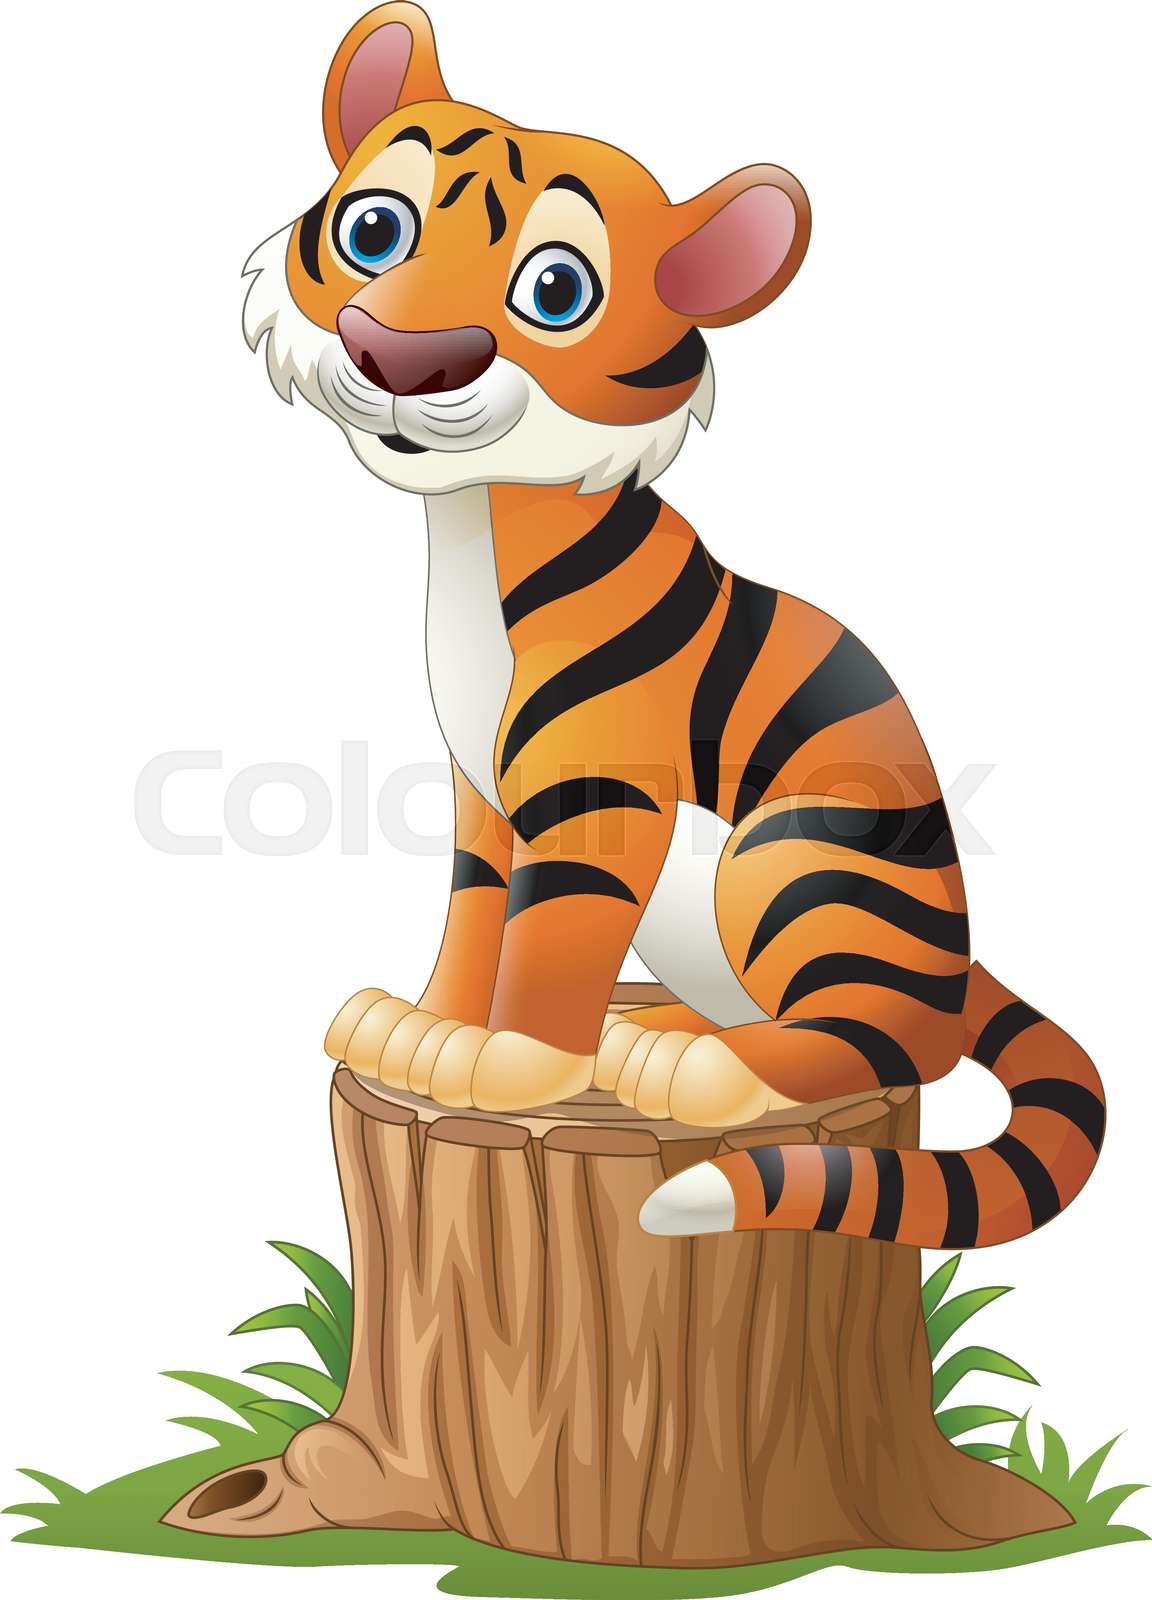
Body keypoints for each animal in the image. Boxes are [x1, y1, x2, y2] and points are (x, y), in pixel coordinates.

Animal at [244, 2, 1105, 1248]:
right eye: (375, 228)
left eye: (557, 290)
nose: (401, 355)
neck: (474, 526)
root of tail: (960, 960)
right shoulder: (482, 789)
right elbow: (474, 909)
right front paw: (425, 1026)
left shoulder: (597, 792)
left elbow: (552, 932)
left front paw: (510, 1059)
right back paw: (665, 1033)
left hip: (794, 856)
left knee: (887, 1037)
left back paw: (697, 1067)